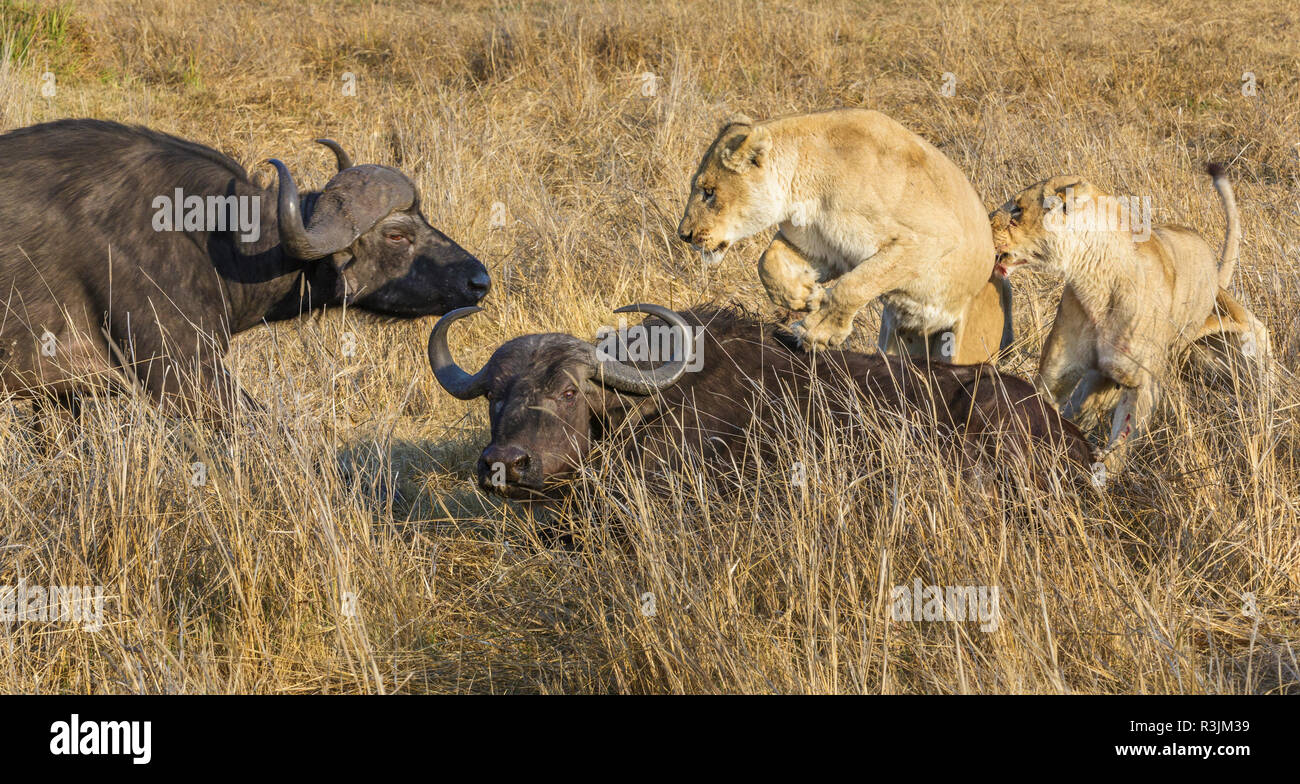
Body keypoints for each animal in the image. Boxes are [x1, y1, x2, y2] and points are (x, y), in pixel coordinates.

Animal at [676, 108, 1011, 364]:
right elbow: (767, 262)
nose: (684, 235)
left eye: (709, 192)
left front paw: (818, 331)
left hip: (968, 344)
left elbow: (855, 284)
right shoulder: (822, 249)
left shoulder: (932, 238)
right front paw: (804, 296)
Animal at [988, 163, 1270, 460]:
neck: (1095, 283)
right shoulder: (1055, 378)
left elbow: (1117, 452)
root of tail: (1216, 278)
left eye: (1017, 209)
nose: (986, 218)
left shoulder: (1142, 386)